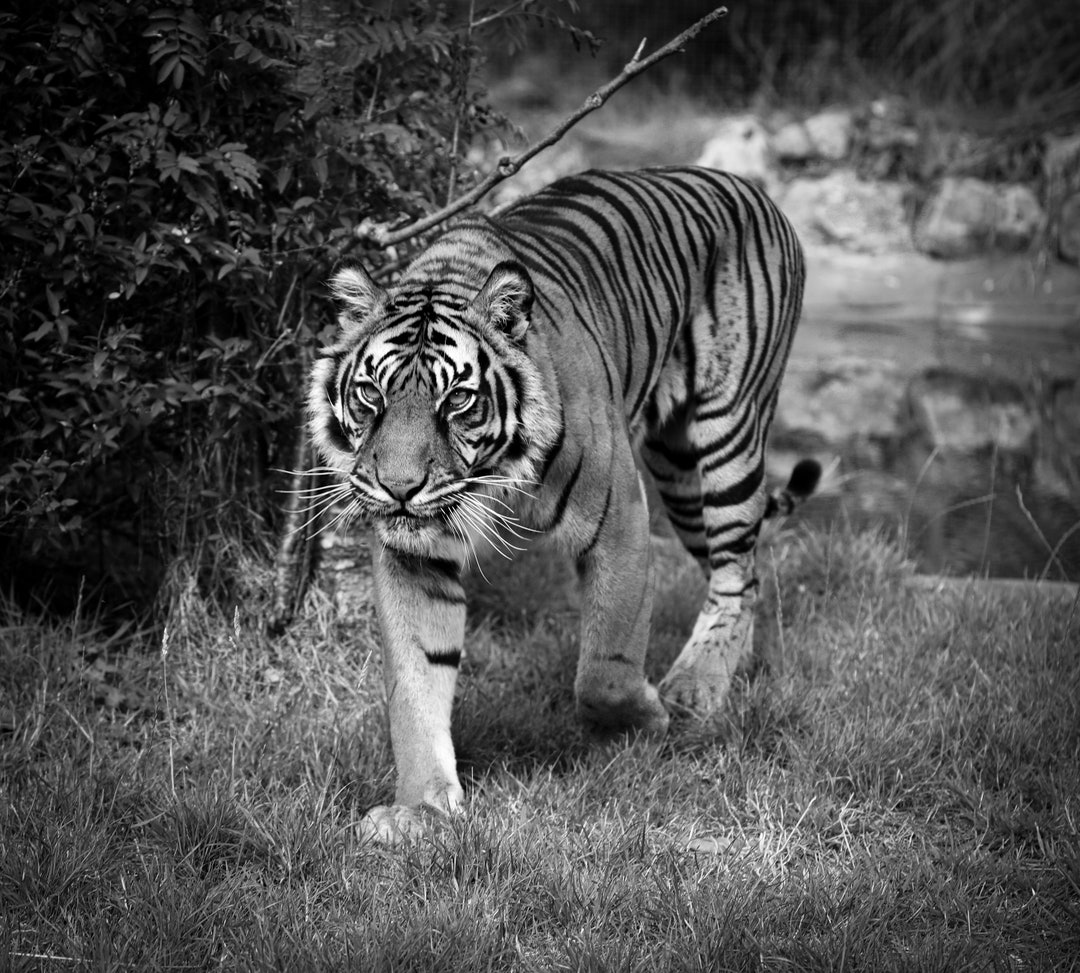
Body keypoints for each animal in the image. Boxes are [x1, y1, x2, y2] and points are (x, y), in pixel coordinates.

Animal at [307, 166, 818, 843]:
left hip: (727, 433)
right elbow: (415, 684)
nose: (398, 486)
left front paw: (644, 720)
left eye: (457, 400)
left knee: (738, 570)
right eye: (371, 394)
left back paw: (695, 688)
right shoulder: (413, 555)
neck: (490, 478)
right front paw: (421, 809)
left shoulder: (620, 518)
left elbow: (604, 665)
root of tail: (750, 185)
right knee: (743, 571)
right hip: (679, 475)